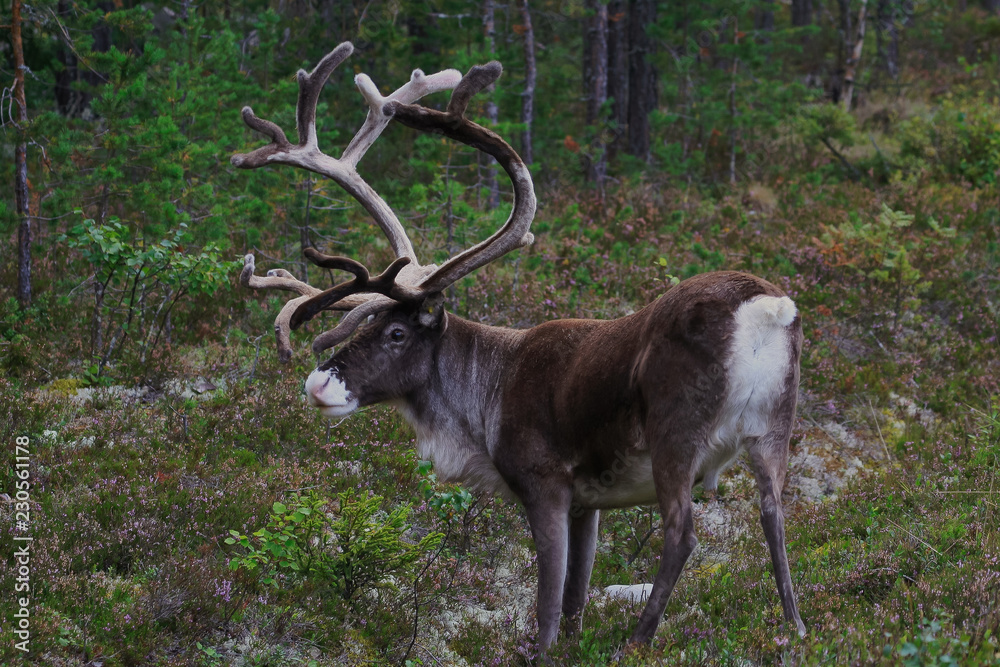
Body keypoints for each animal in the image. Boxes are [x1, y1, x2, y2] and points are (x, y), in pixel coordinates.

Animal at [233, 42, 807, 652]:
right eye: (364, 325)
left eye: (396, 333)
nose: (318, 382)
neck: (484, 399)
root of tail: (765, 311)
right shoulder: (589, 502)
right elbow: (576, 597)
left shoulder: (545, 482)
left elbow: (548, 602)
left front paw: (542, 649)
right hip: (773, 430)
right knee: (775, 516)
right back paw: (794, 629)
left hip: (676, 436)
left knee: (682, 533)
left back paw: (636, 640)